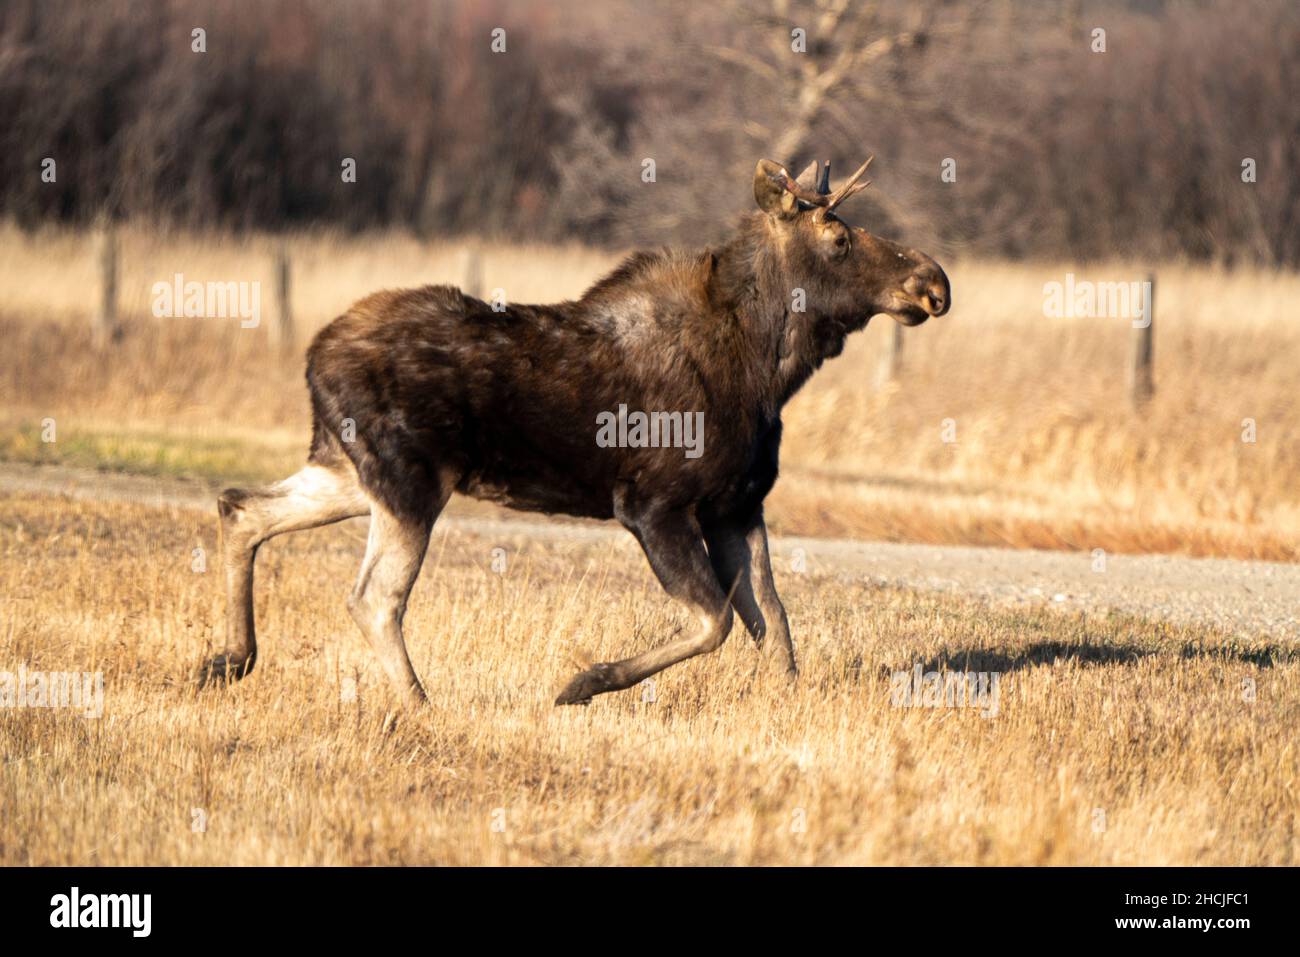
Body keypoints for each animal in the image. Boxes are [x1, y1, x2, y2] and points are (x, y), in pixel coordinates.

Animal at [199, 157, 950, 706]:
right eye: (839, 237)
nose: (934, 281)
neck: (769, 367)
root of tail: (312, 356)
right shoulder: (652, 504)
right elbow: (716, 620)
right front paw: (583, 683)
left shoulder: (738, 504)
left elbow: (775, 621)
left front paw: (792, 705)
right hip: (408, 481)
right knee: (373, 597)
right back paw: (418, 704)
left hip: (354, 472)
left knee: (242, 506)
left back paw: (230, 659)